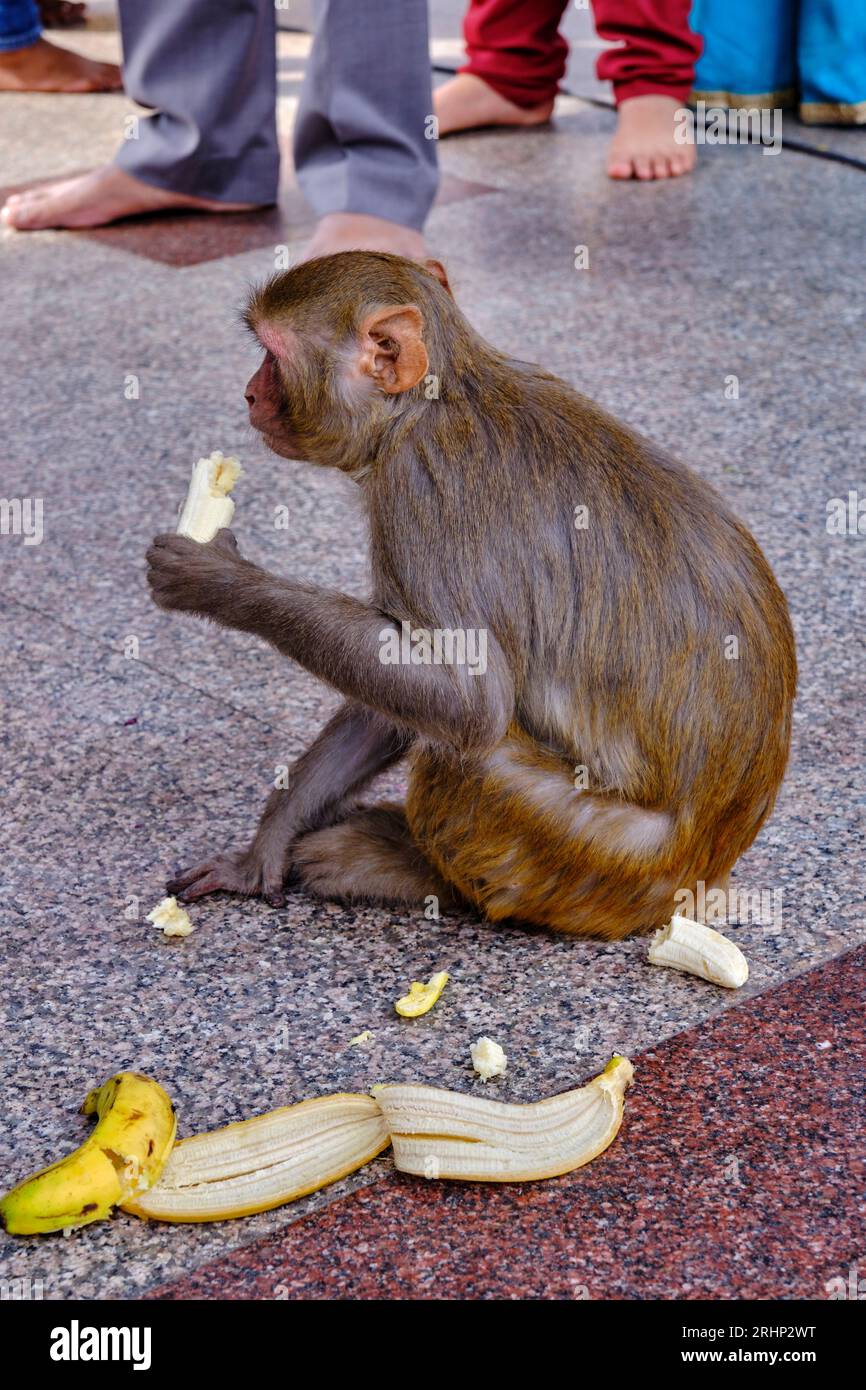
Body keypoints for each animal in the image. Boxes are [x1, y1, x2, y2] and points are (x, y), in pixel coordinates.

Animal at [146, 251, 796, 940]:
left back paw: (409, 870)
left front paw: (219, 580)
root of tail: (703, 875)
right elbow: (395, 691)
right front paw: (265, 845)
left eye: (271, 356)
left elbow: (467, 701)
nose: (249, 392)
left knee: (465, 757)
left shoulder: (419, 486)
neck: (434, 400)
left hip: (598, 859)